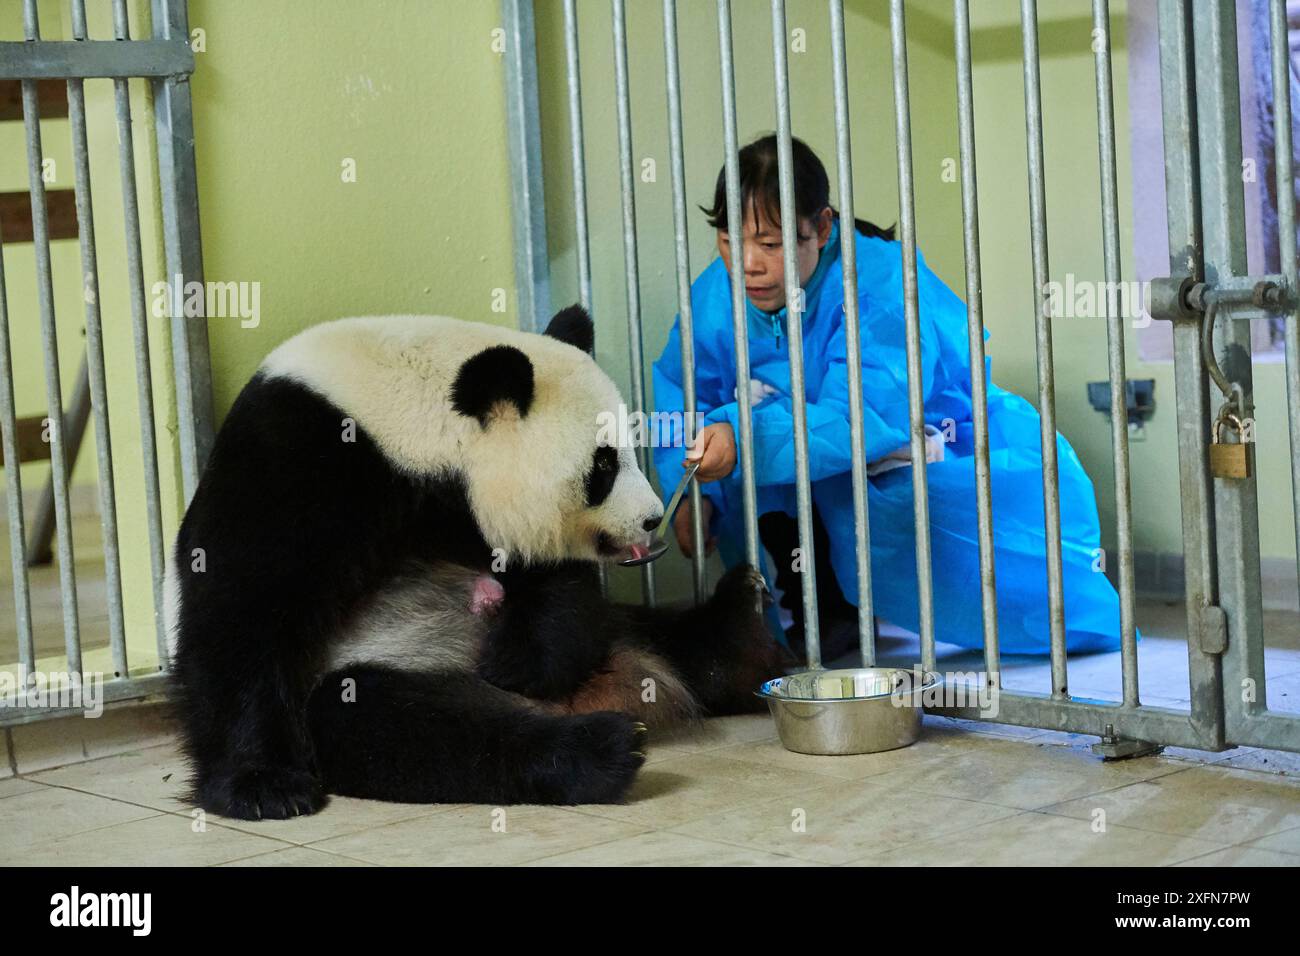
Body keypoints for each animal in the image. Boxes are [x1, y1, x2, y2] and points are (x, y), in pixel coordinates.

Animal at [168, 305, 787, 820]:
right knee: (399, 725)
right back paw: (600, 751)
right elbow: (244, 609)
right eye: (604, 466)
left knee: (663, 630)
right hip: (400, 669)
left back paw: (737, 629)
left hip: (624, 634)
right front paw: (263, 787)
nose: (652, 518)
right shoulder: (299, 456)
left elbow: (554, 600)